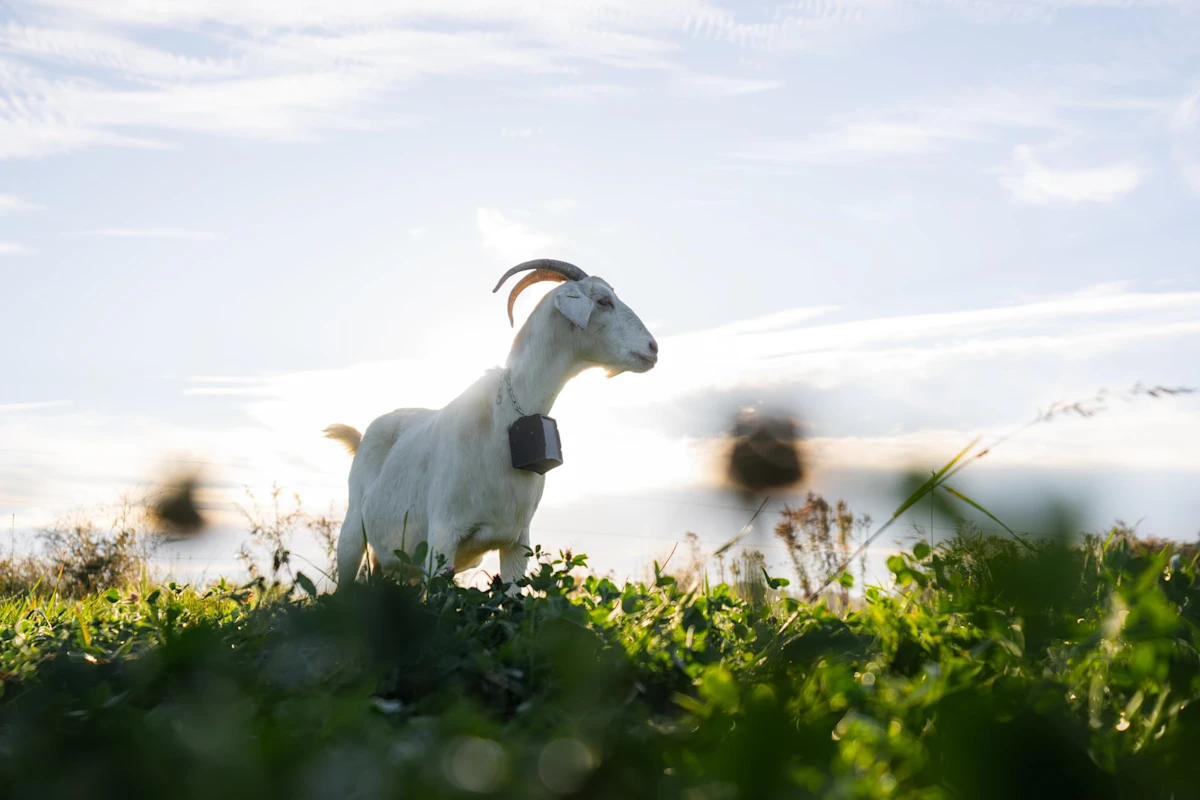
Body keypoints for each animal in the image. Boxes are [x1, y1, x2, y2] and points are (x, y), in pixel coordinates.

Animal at [325, 259, 658, 589]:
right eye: (603, 301)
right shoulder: (442, 537)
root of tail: (361, 438)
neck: (501, 423)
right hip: (353, 535)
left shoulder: (517, 541)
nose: (653, 348)